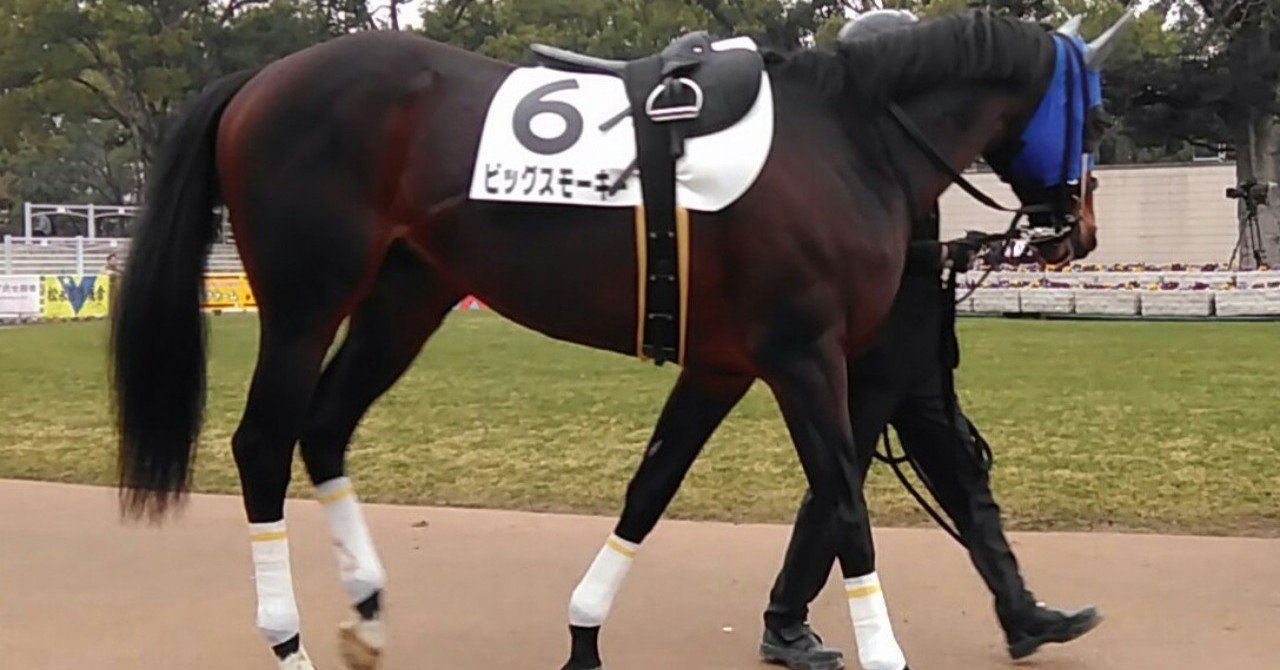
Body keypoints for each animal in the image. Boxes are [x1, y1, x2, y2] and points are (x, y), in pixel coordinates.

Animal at [110, 9, 1123, 669]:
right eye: (1097, 112)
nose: (1076, 231)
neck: (844, 138)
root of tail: (260, 81)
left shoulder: (721, 364)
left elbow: (651, 487)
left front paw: (585, 631)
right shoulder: (804, 356)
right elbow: (843, 503)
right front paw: (883, 652)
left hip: (408, 297)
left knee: (323, 429)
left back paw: (364, 610)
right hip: (305, 301)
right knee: (263, 443)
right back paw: (286, 640)